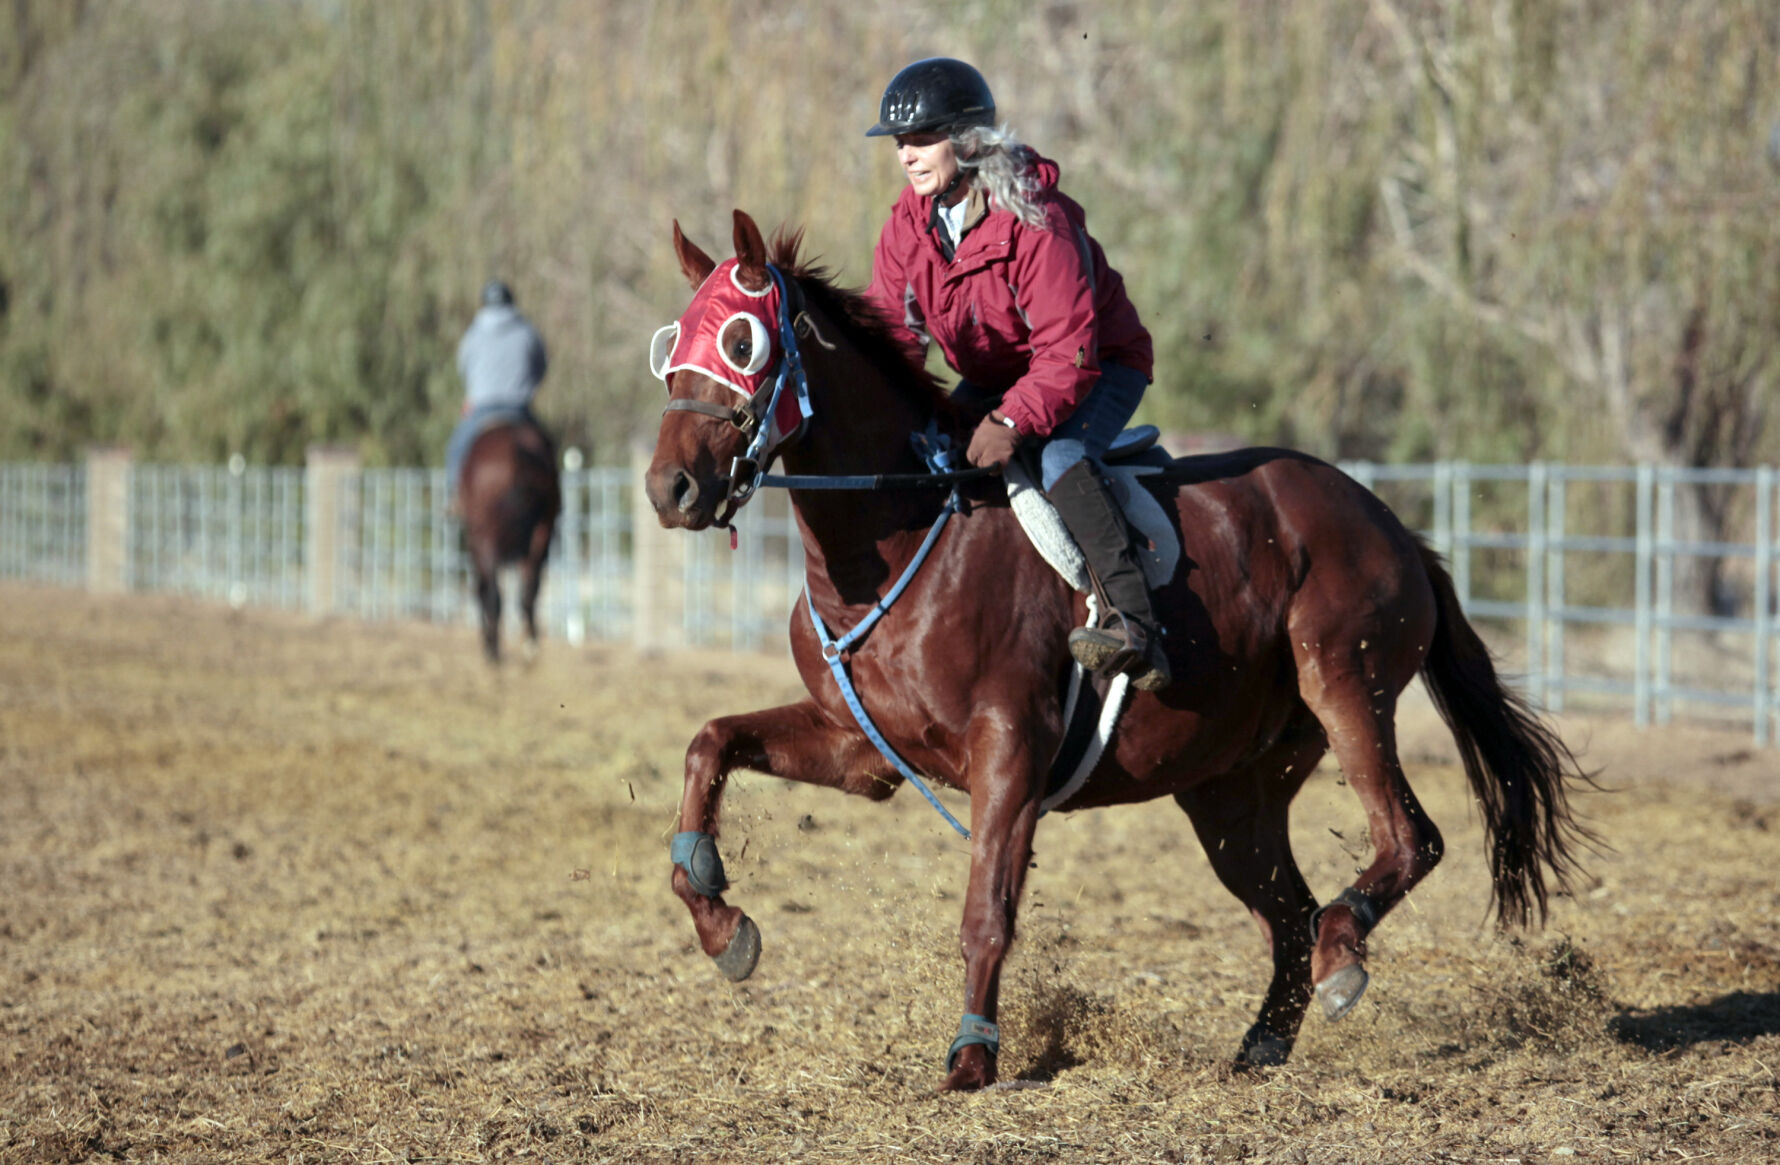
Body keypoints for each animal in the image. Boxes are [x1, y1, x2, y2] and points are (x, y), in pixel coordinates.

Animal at [457, 418, 561, 663]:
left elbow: (482, 590)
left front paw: (488, 642)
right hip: (541, 532)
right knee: (529, 592)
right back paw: (530, 648)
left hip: (485, 538)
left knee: (493, 593)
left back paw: (494, 651)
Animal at [643, 210, 1594, 1092]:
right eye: (672, 346)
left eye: (741, 339)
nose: (668, 489)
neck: (907, 527)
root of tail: (1393, 524)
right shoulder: (860, 750)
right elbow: (708, 742)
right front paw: (719, 918)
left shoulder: (1010, 751)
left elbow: (987, 911)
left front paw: (972, 1057)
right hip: (1231, 788)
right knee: (1287, 913)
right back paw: (1262, 1042)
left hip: (1346, 684)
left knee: (1406, 840)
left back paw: (1342, 956)